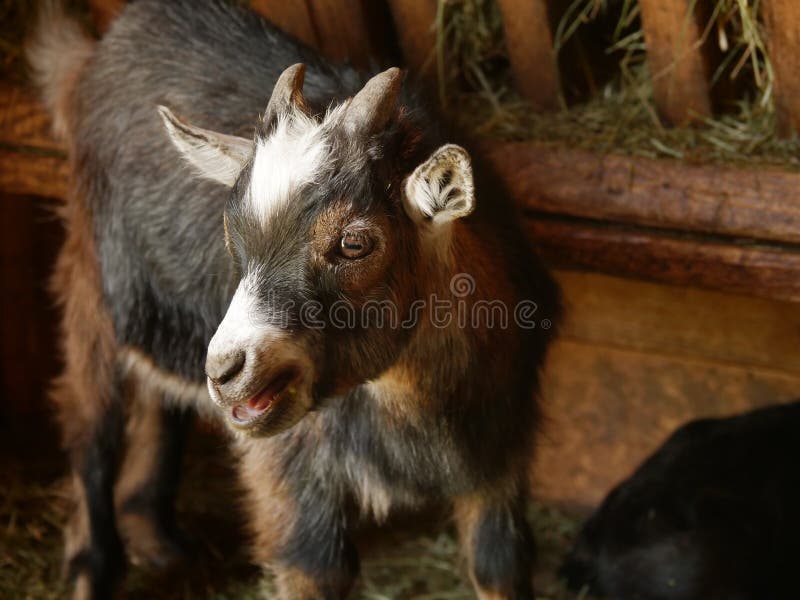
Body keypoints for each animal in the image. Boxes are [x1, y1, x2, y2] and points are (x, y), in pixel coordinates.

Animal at [29, 1, 561, 598]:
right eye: (231, 233)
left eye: (354, 242)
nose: (225, 370)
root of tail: (95, 54)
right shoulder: (290, 472)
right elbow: (313, 563)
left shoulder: (498, 454)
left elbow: (500, 560)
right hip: (90, 277)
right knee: (89, 420)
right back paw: (92, 564)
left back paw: (155, 537)